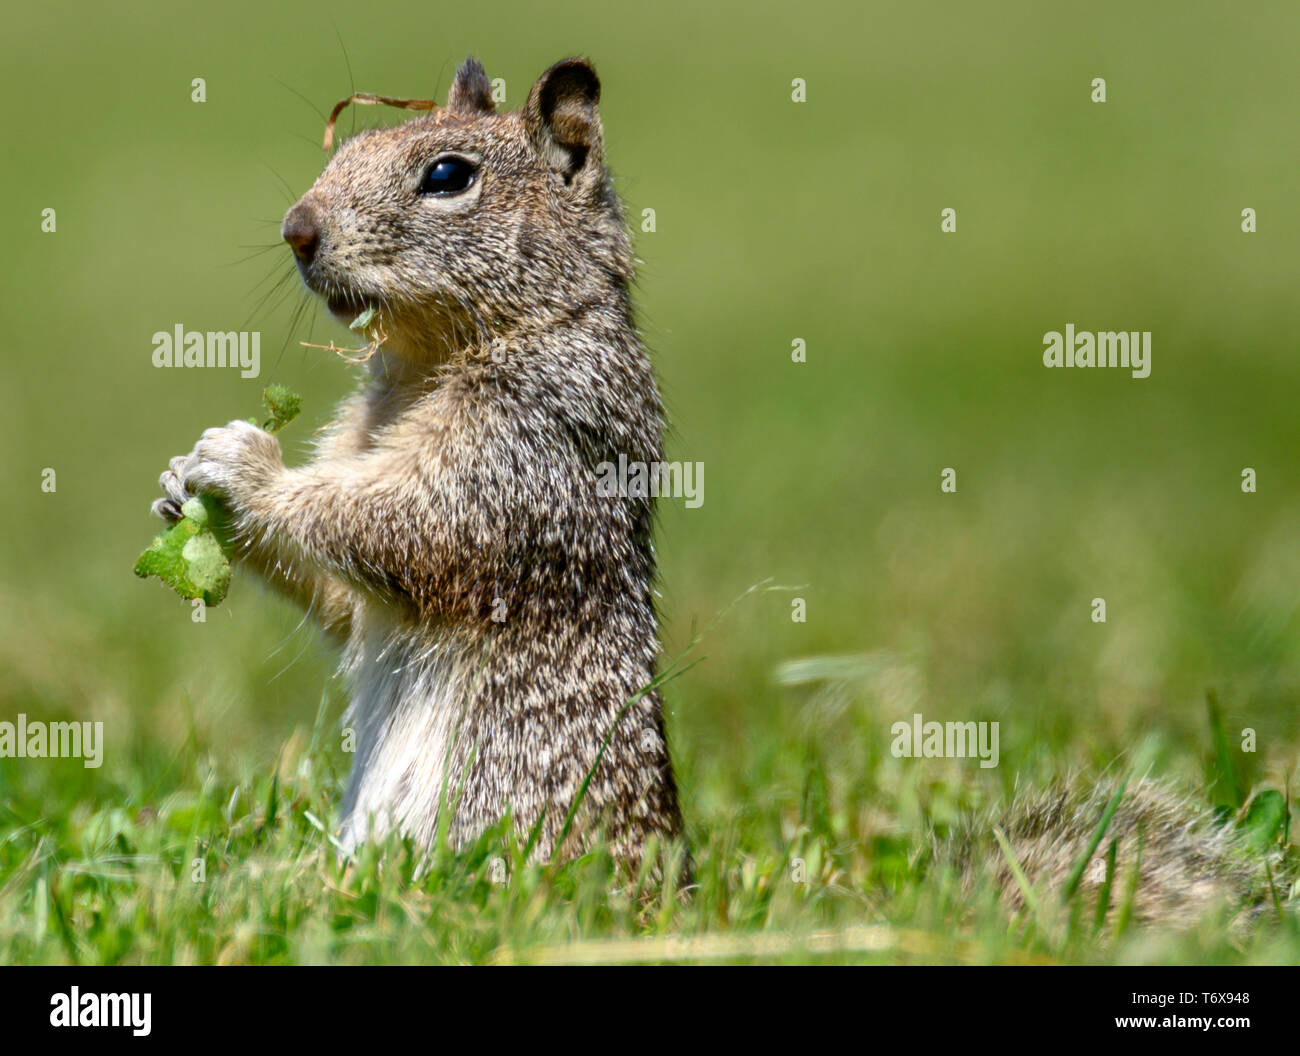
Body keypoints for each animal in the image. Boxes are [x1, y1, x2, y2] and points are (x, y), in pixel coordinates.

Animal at [152, 56, 683, 869]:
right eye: (349, 144)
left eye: (446, 175)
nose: (296, 230)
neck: (424, 363)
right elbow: (346, 601)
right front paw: (180, 485)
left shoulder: (532, 434)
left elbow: (410, 520)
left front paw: (246, 468)